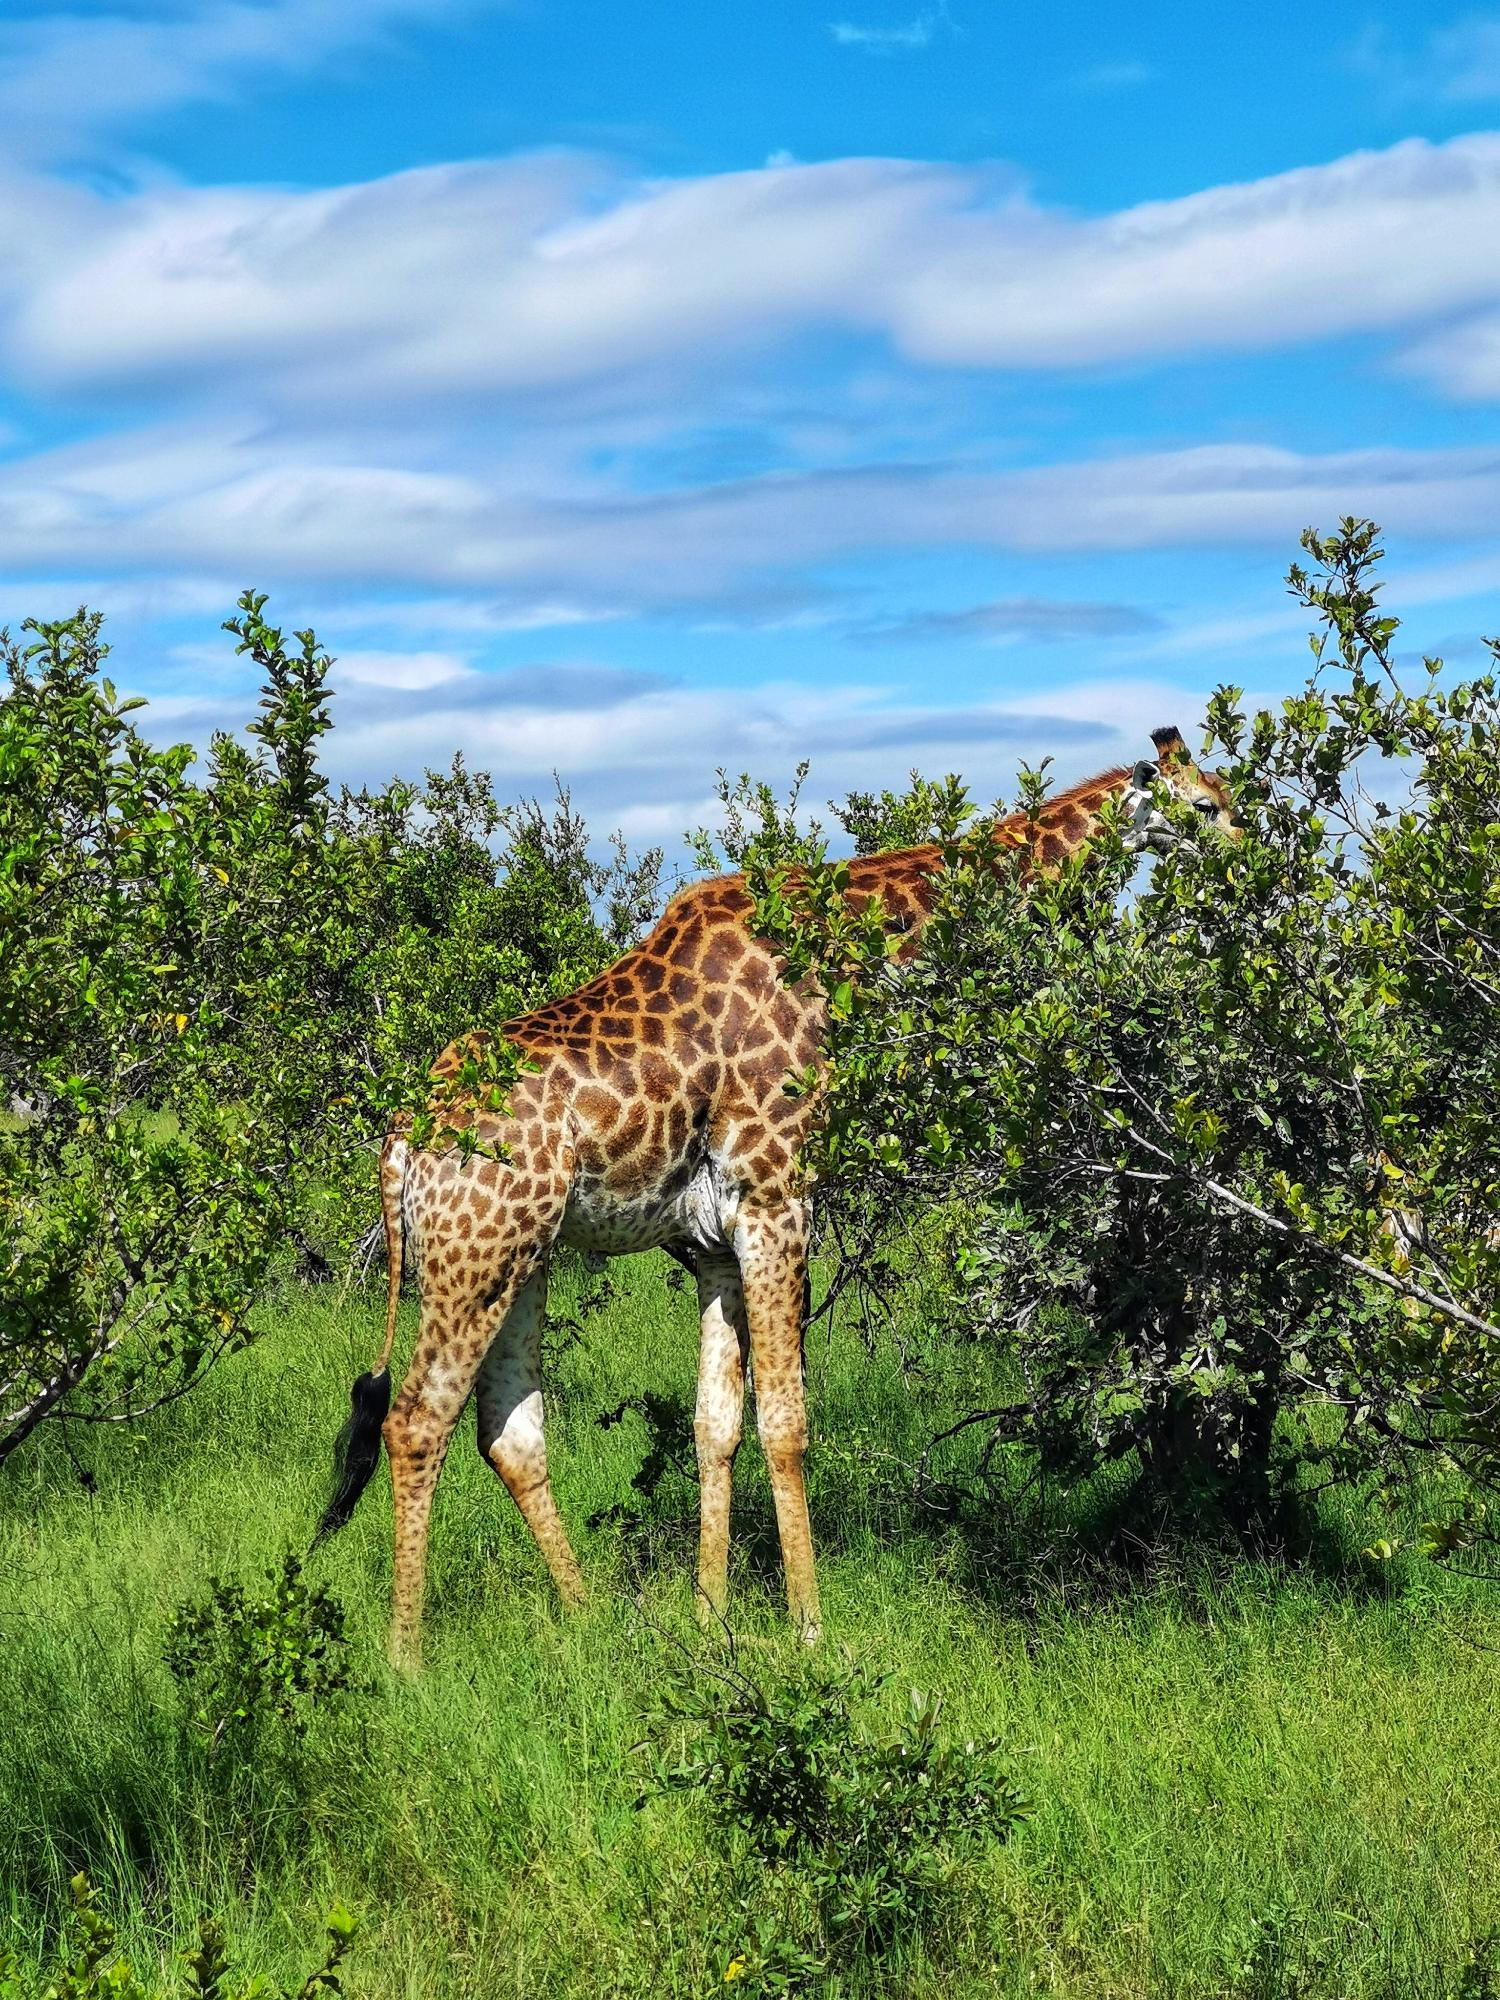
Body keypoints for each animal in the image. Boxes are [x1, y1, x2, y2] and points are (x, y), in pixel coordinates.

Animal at [314, 728, 1232, 1664]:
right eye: (1207, 807)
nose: (1245, 865)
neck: (843, 964)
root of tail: (404, 1133)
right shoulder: (777, 1197)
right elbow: (785, 1423)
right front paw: (810, 1629)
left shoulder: (714, 1244)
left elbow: (714, 1424)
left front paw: (710, 1619)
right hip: (476, 1250)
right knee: (416, 1421)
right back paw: (405, 1657)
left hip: (522, 1255)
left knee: (508, 1426)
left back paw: (588, 1616)